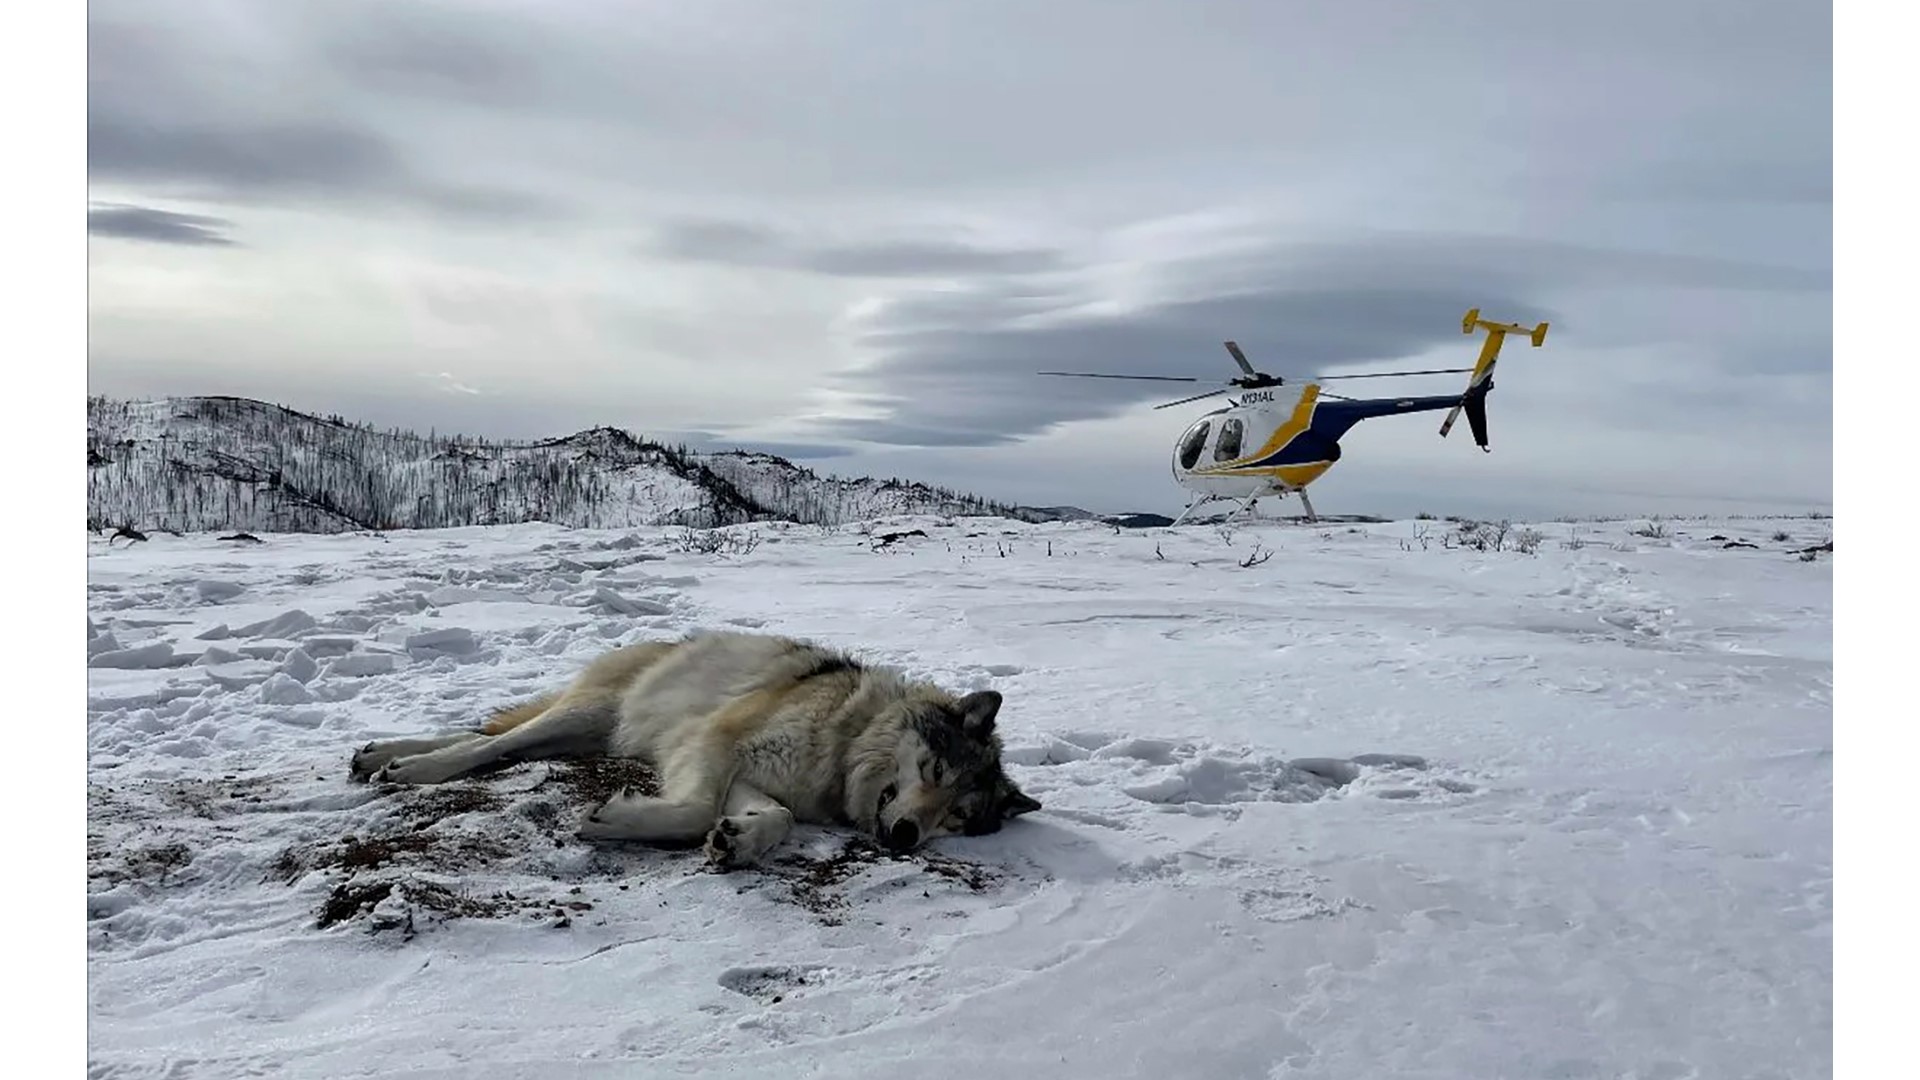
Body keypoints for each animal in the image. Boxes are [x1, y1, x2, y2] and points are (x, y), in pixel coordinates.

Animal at [347, 629, 1041, 869]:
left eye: (957, 817)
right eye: (934, 769)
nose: (904, 837)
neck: (844, 739)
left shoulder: (754, 777)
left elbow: (775, 818)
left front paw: (739, 841)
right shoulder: (712, 742)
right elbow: (696, 809)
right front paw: (615, 821)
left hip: (584, 731)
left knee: (490, 738)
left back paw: (380, 754)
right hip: (591, 711)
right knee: (493, 741)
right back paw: (412, 765)